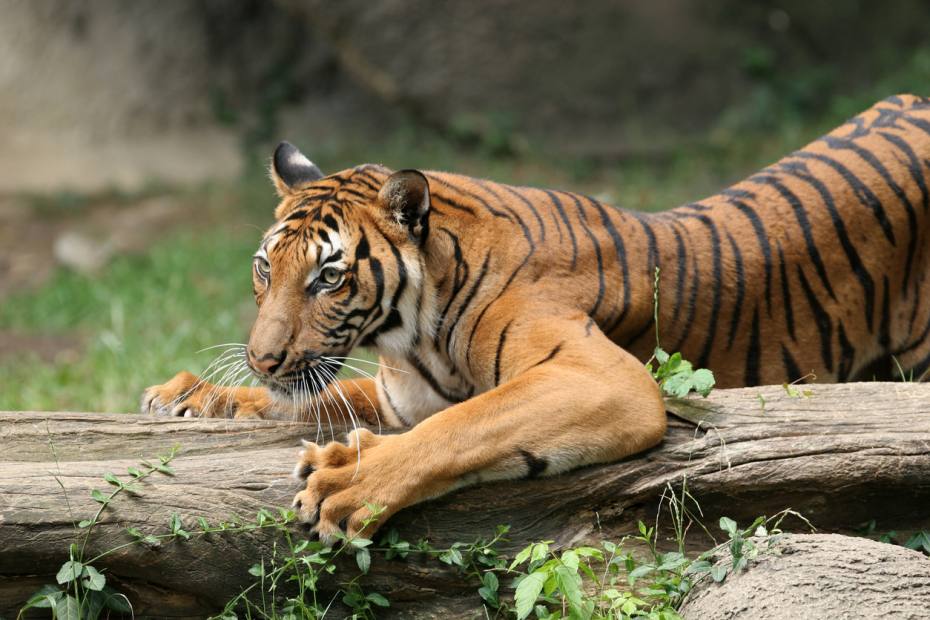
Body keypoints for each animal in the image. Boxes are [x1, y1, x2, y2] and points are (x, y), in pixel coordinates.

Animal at [142, 94, 930, 541]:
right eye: (265, 269)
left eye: (328, 278)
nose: (262, 358)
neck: (410, 332)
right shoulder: (398, 393)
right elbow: (324, 397)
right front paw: (194, 396)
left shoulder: (599, 376)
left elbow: (463, 426)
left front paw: (346, 484)